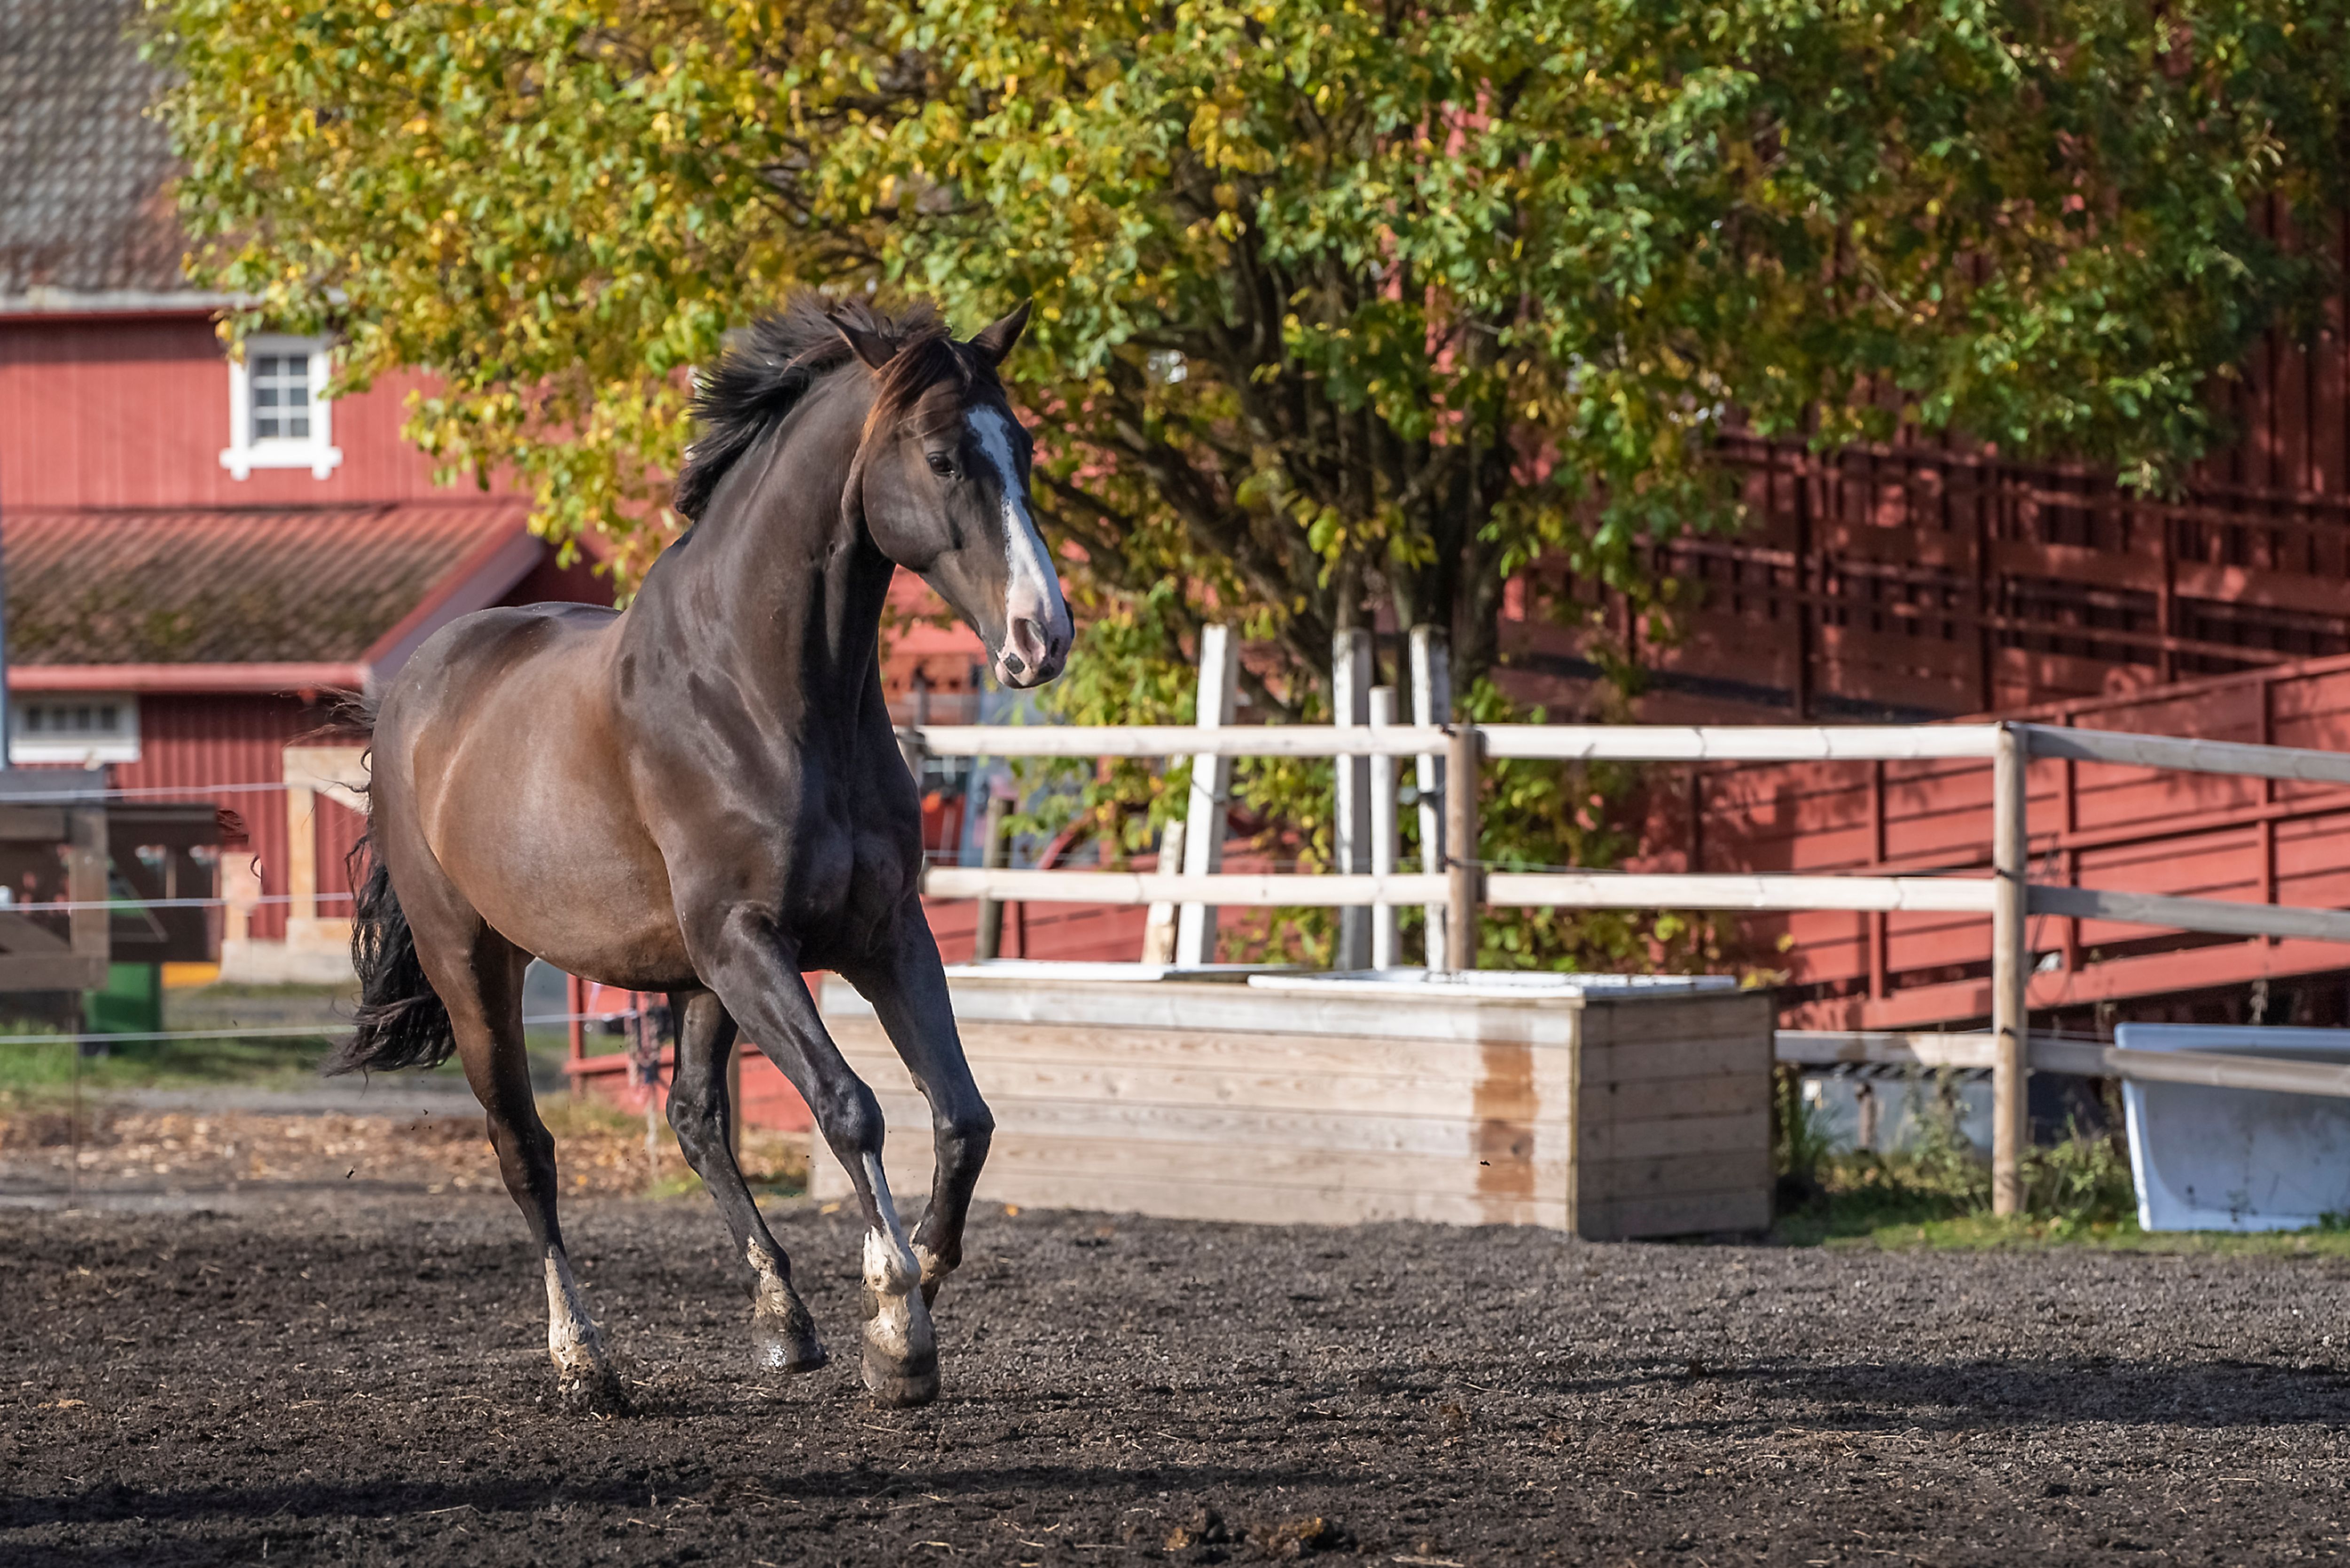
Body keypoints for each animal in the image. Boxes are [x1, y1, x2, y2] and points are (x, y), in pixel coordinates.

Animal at [326, 296, 1071, 1413]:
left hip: (692, 978)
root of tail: (412, 691)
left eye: (1021, 447)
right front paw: (897, 1323)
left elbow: (962, 1117)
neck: (761, 692)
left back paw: (783, 1321)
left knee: (690, 1116)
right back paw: (584, 1363)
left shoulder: (883, 937)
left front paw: (912, 1294)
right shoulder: (747, 942)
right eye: (943, 458)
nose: (1042, 635)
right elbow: (849, 1109)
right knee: (525, 1150)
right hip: (480, 964)